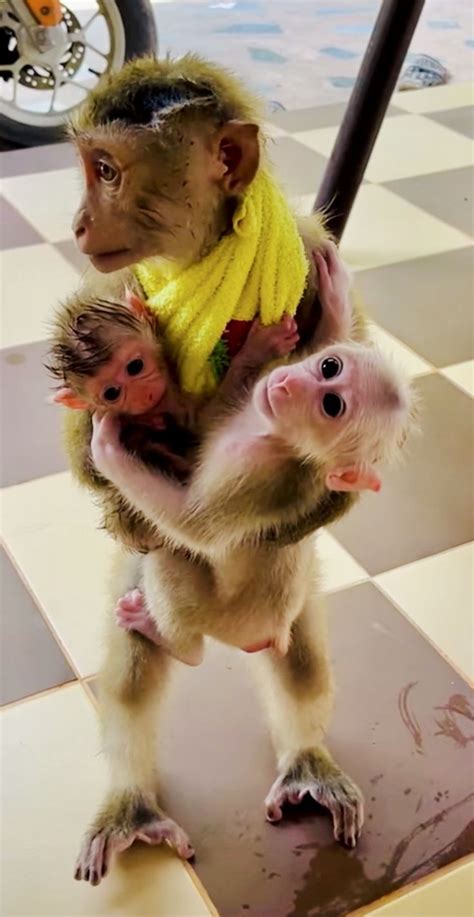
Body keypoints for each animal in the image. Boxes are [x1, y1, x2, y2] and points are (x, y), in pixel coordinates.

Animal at [73, 244, 415, 886]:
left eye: (332, 406)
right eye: (329, 367)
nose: (291, 383)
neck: (270, 432)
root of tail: (255, 636)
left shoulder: (256, 473)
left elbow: (197, 528)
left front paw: (107, 447)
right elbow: (210, 412)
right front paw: (320, 309)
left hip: (222, 614)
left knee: (173, 568)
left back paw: (171, 642)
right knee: (295, 662)